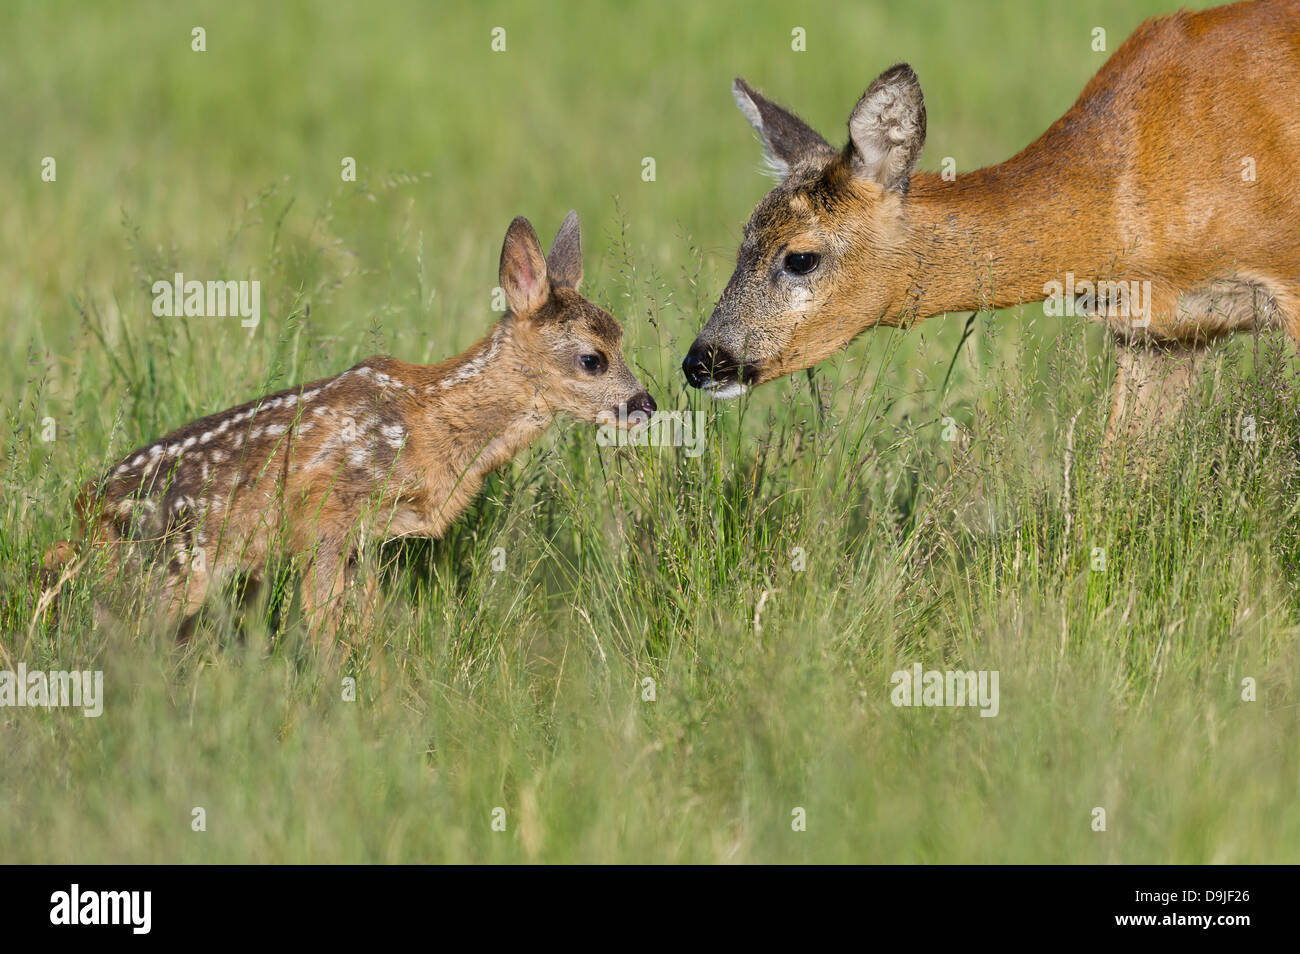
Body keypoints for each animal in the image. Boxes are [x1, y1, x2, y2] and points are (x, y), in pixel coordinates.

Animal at [43, 212, 655, 642]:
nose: (646, 404)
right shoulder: (324, 511)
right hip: (172, 564)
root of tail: (87, 506)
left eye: (624, 336)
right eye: (593, 359)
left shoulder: (364, 539)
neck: (430, 420)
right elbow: (326, 625)